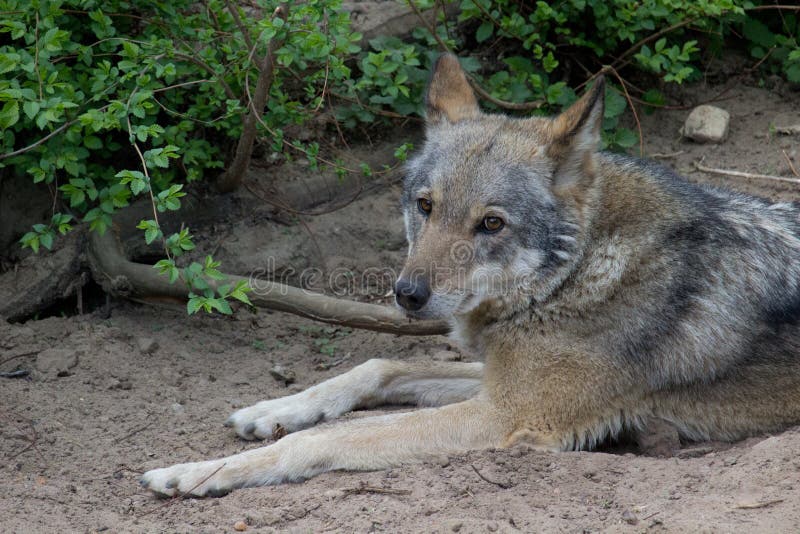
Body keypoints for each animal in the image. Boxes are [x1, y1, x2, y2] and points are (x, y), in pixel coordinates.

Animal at [141, 54, 800, 497]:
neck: (575, 272)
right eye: (425, 206)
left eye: (491, 223)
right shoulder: (495, 384)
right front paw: (273, 410)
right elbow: (377, 367)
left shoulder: (507, 416)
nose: (407, 295)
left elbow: (327, 439)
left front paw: (197, 472)